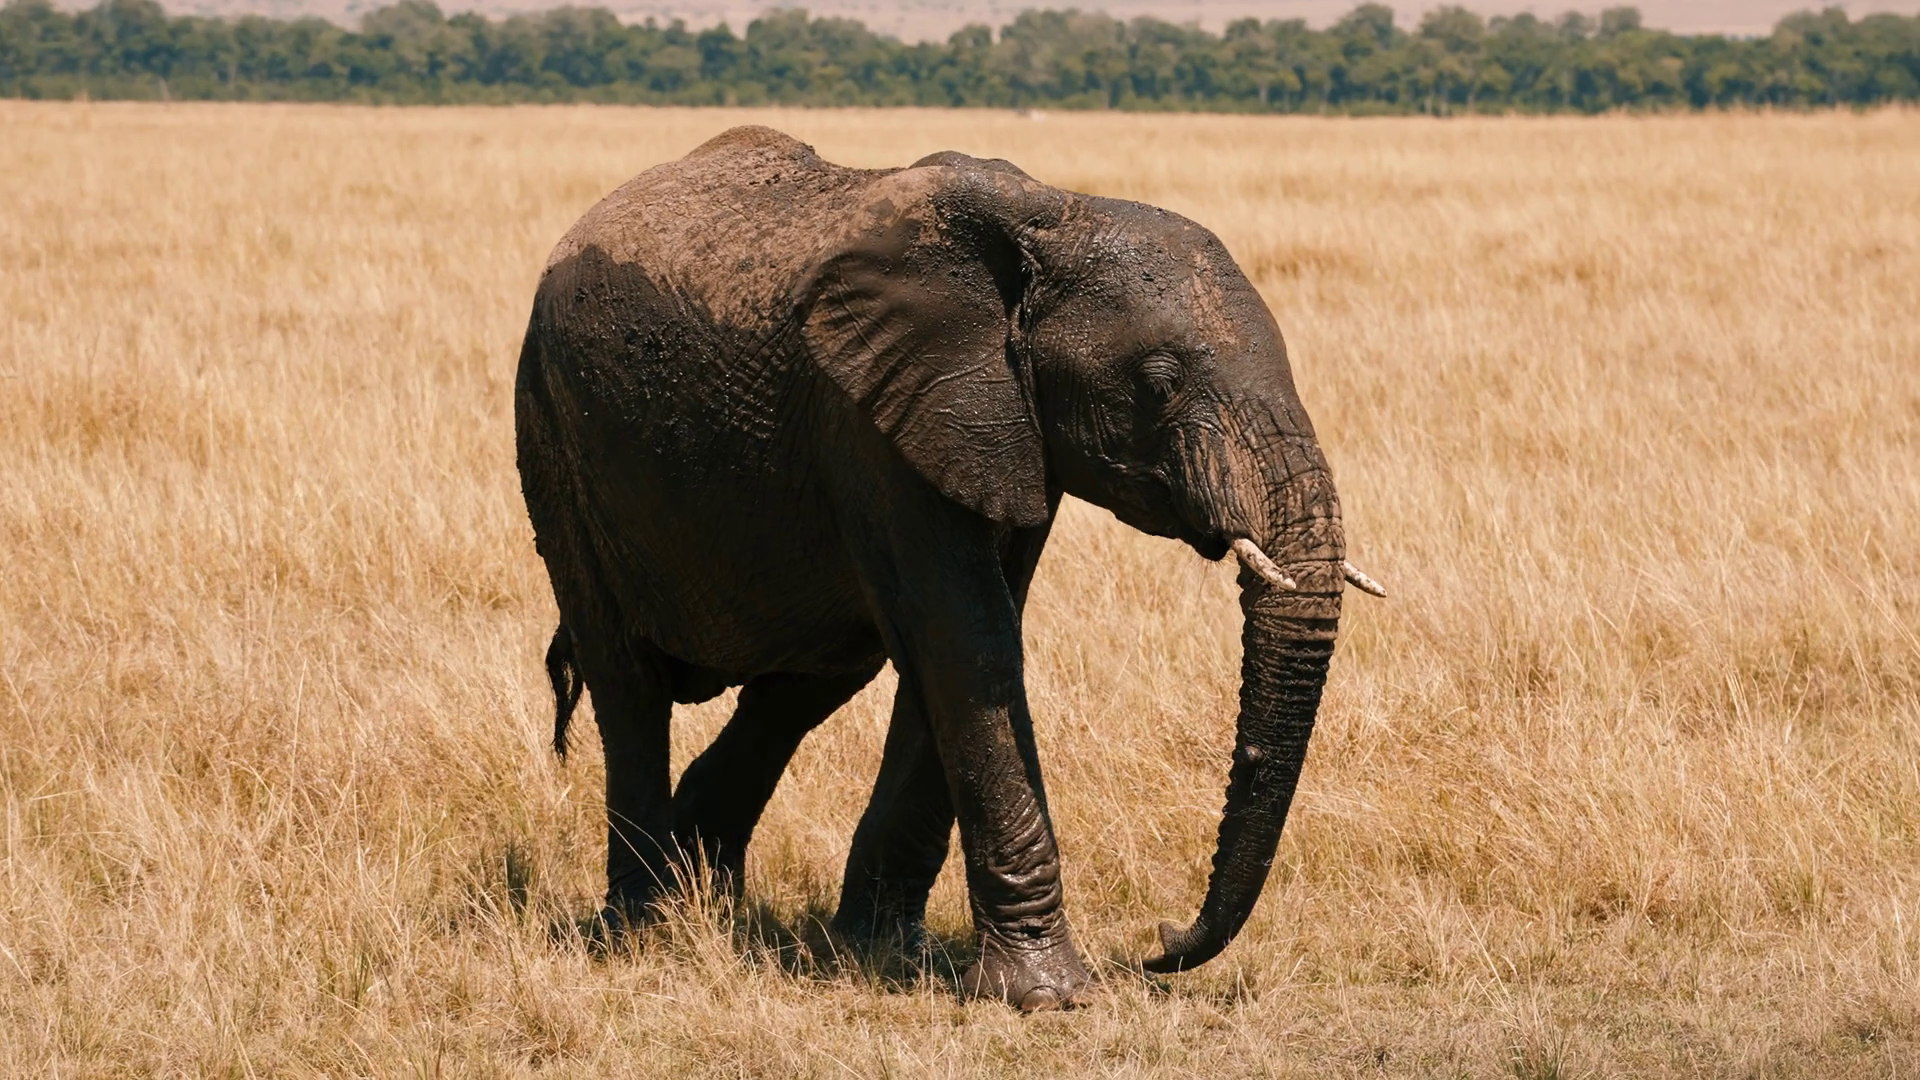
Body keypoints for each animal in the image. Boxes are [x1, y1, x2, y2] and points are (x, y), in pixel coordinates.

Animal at [514, 125, 1382, 1011]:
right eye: (1159, 384)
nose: (1162, 944)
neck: (1058, 215)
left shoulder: (1002, 427)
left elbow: (958, 649)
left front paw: (882, 951)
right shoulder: (872, 420)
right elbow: (969, 643)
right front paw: (1051, 996)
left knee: (809, 681)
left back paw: (703, 896)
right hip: (552, 436)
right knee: (628, 686)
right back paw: (644, 929)